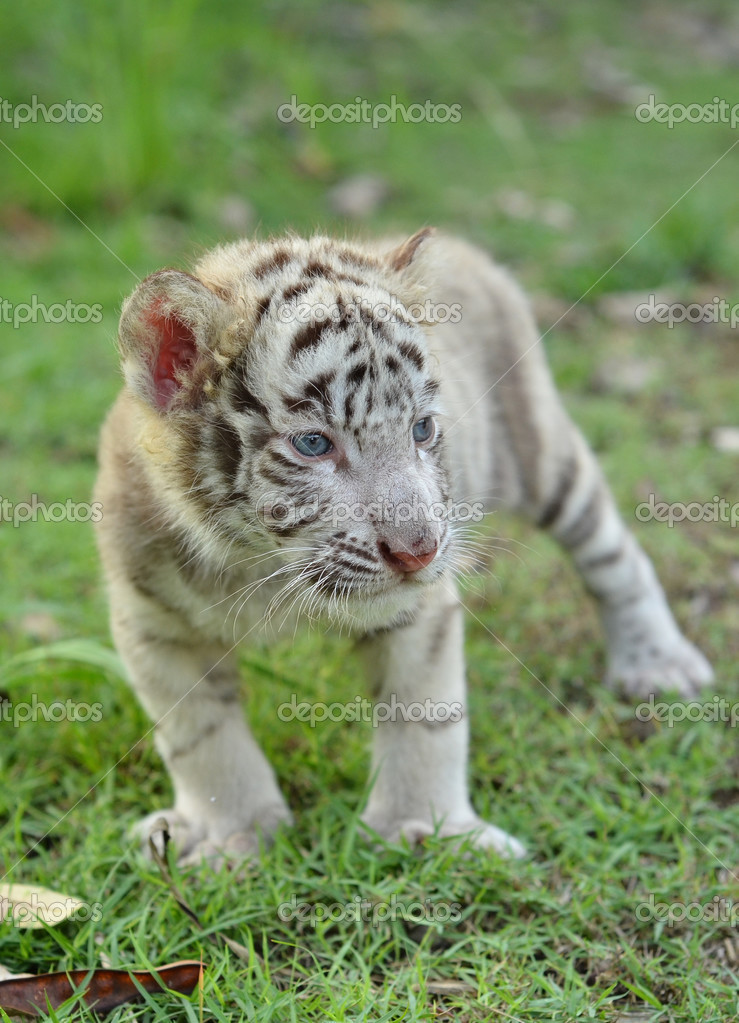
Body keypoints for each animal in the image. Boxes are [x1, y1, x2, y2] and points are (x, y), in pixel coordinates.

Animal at [93, 227, 713, 863]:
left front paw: (423, 826)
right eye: (313, 443)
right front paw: (233, 834)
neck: (259, 565)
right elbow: (201, 736)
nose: (420, 551)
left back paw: (660, 664)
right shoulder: (151, 622)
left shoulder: (422, 610)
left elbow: (426, 718)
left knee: (613, 552)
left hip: (542, 453)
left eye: (421, 429)